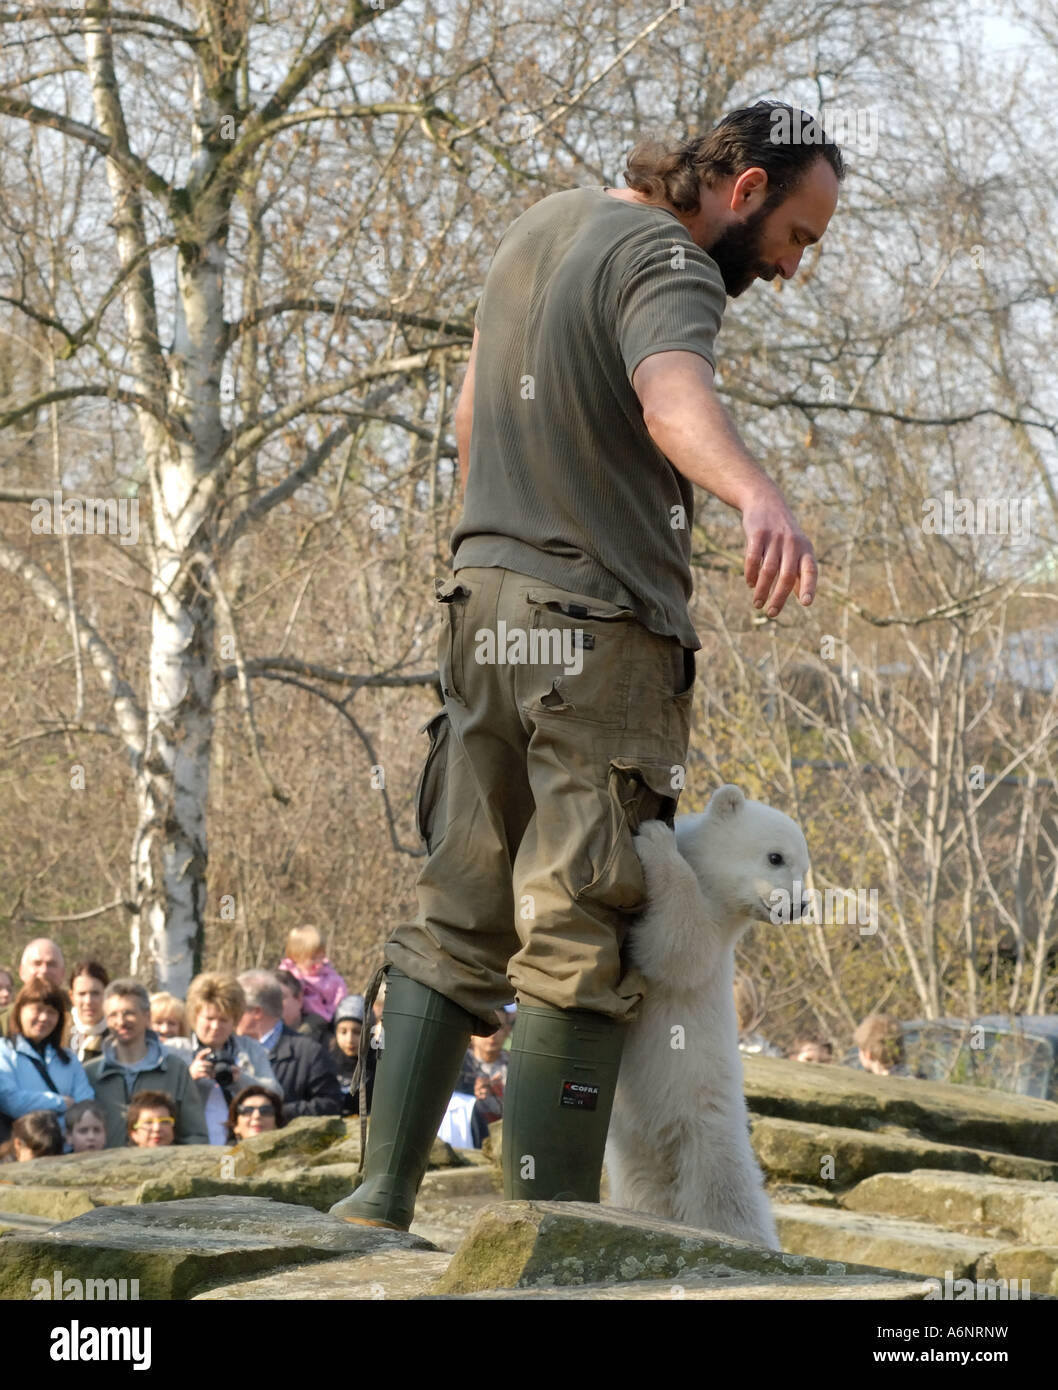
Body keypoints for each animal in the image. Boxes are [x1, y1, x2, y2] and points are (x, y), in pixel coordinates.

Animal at [605, 783, 811, 1248]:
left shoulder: (717, 935)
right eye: (777, 857)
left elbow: (680, 946)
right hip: (632, 1141)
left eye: (804, 865)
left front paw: (654, 839)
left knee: (723, 1196)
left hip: (706, 1126)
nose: (800, 906)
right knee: (643, 1186)